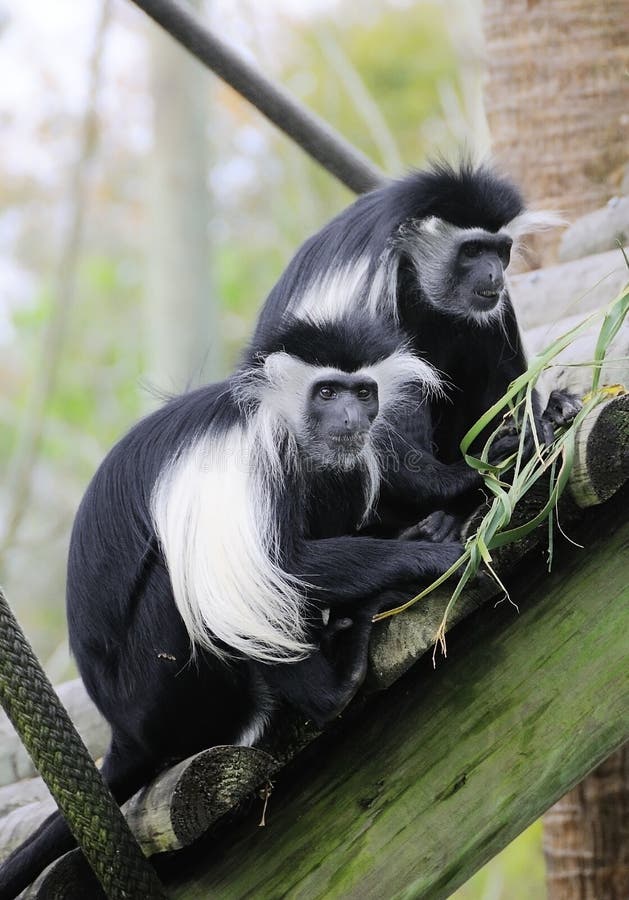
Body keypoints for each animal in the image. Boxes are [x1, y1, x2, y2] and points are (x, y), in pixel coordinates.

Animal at [0, 314, 464, 898]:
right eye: (327, 392)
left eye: (363, 392)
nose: (352, 418)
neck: (276, 413)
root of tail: (124, 731)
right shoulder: (249, 456)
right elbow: (276, 569)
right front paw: (431, 552)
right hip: (161, 689)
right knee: (210, 589)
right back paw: (334, 684)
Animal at [253, 161, 581, 539]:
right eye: (471, 250)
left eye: (500, 251)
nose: (494, 275)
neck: (411, 270)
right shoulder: (366, 299)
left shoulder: (495, 307)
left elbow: (506, 382)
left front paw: (540, 422)